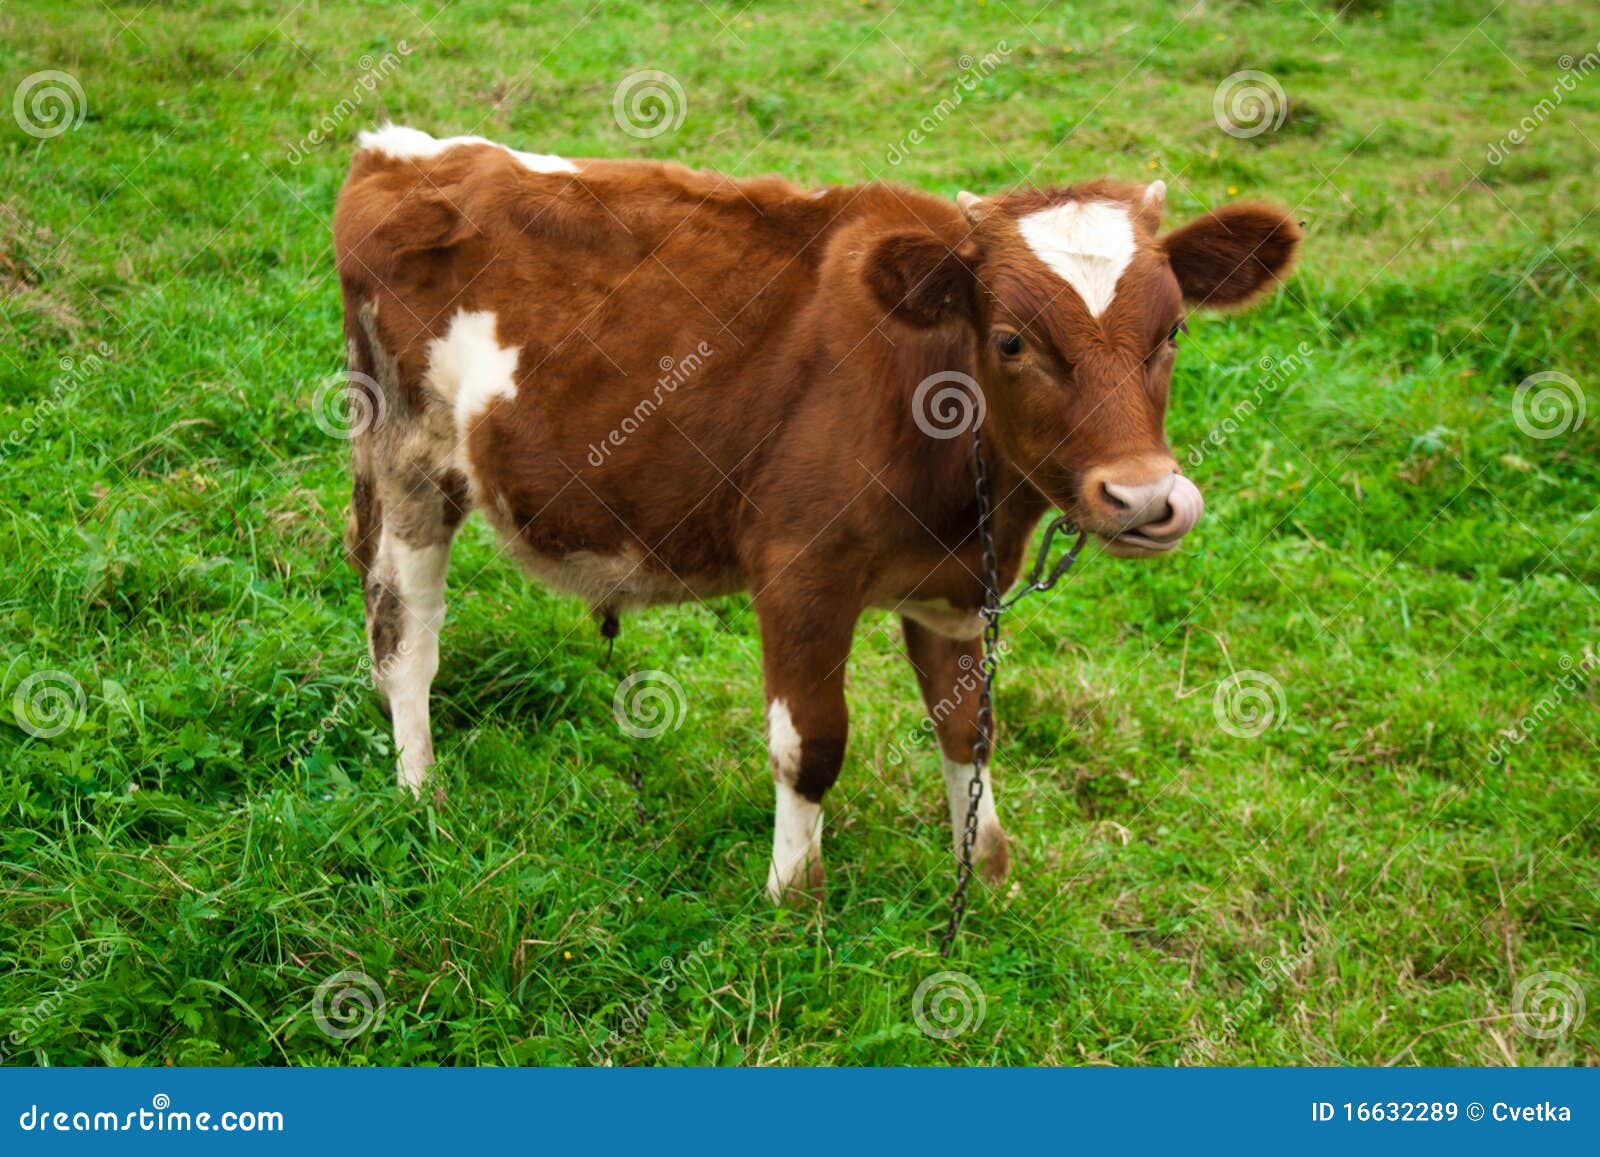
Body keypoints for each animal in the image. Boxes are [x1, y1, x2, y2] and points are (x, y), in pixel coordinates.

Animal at [332, 124, 1300, 902]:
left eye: (1173, 332)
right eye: (1013, 340)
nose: (1145, 498)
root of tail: (401, 151)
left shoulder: (960, 586)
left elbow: (971, 728)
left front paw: (985, 874)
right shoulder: (800, 572)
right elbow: (813, 744)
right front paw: (794, 900)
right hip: (412, 463)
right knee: (404, 635)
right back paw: (421, 790)